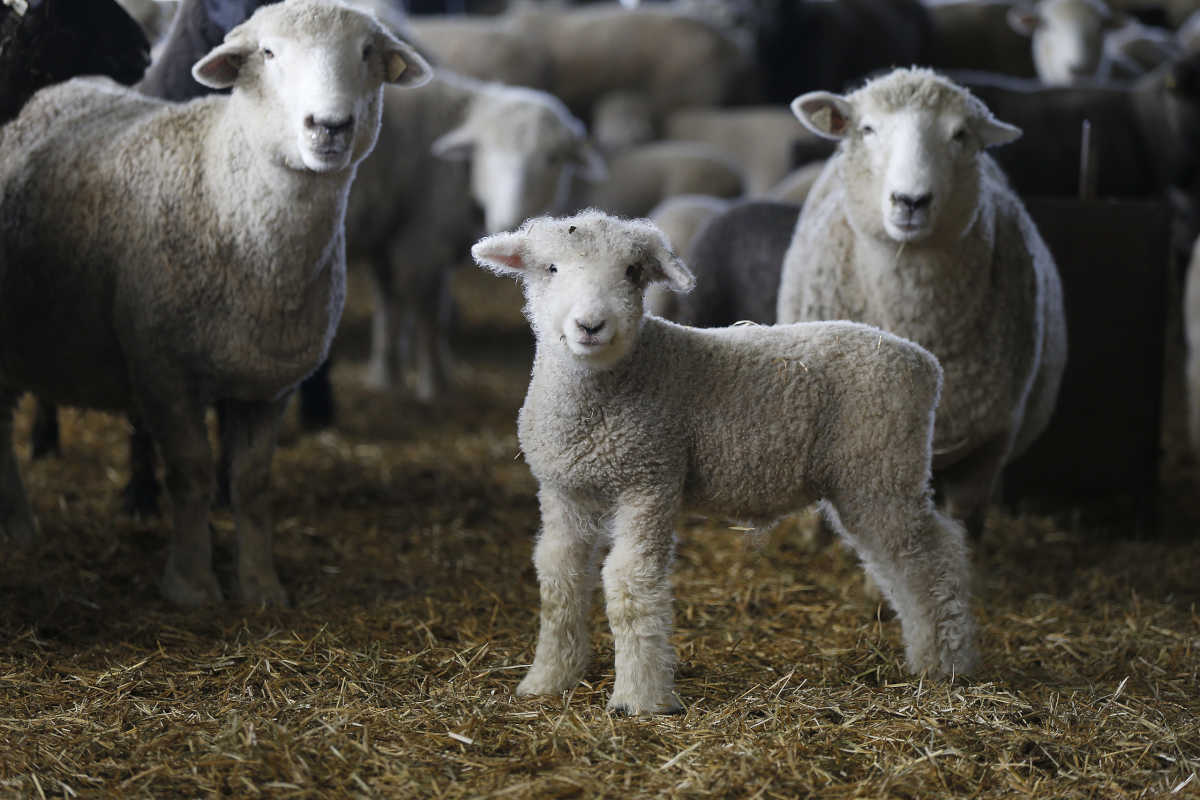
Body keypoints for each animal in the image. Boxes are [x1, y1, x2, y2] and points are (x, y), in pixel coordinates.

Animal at [0, 0, 432, 606]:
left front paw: (260, 586)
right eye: (268, 53)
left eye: (367, 52)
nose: (329, 126)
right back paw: (18, 526)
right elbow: (192, 473)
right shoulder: (164, 375)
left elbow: (250, 483)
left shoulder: (270, 386)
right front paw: (192, 584)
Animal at [471, 209, 978, 715]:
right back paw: (926, 653)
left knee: (933, 556)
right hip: (873, 476)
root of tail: (924, 363)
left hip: (882, 468)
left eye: (632, 272)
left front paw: (640, 698)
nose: (591, 326)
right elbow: (559, 578)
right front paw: (549, 680)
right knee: (903, 564)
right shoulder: (563, 489)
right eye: (551, 268)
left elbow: (630, 581)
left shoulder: (650, 478)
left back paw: (948, 660)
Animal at [778, 68, 1068, 537]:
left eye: (960, 134)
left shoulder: (988, 444)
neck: (915, 323)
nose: (911, 201)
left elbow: (964, 522)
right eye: (867, 128)